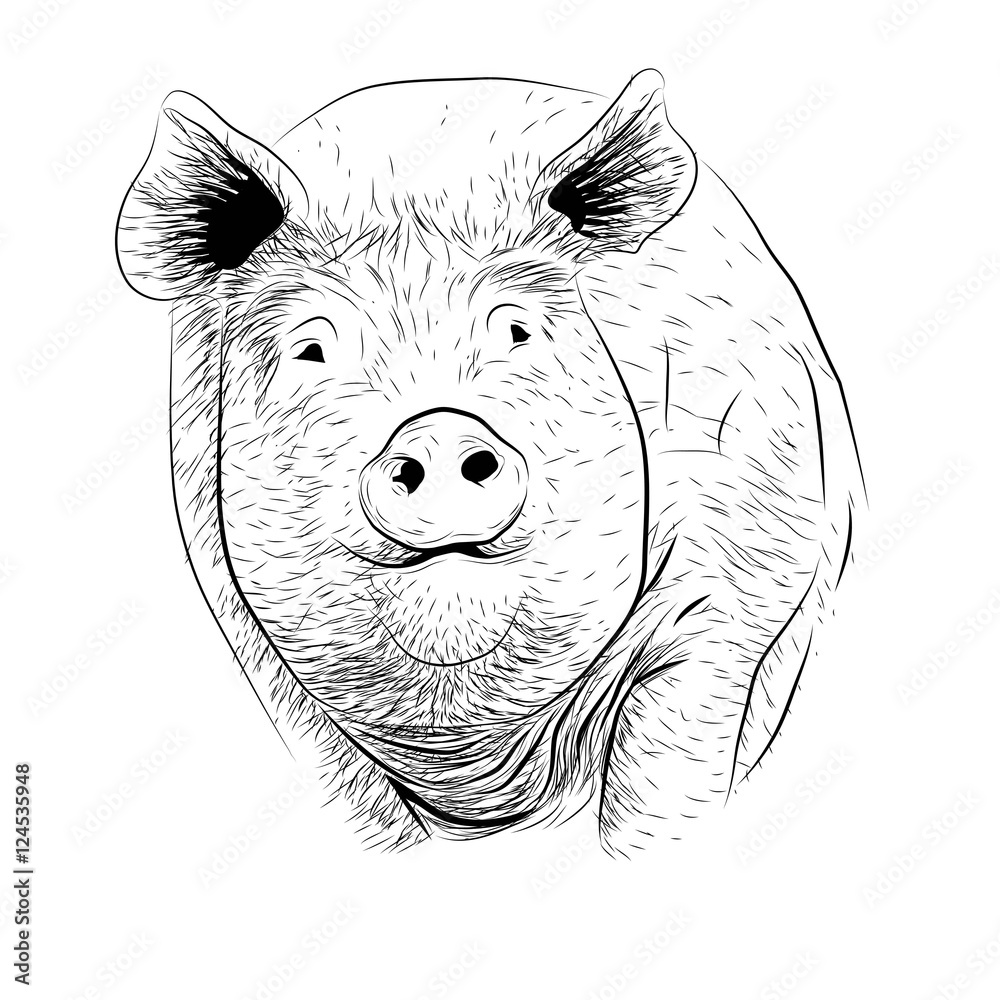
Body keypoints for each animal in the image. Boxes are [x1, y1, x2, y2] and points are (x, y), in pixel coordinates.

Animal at [116, 70, 863, 853]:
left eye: (517, 331)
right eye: (312, 349)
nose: (437, 432)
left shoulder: (736, 586)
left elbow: (665, 777)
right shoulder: (259, 647)